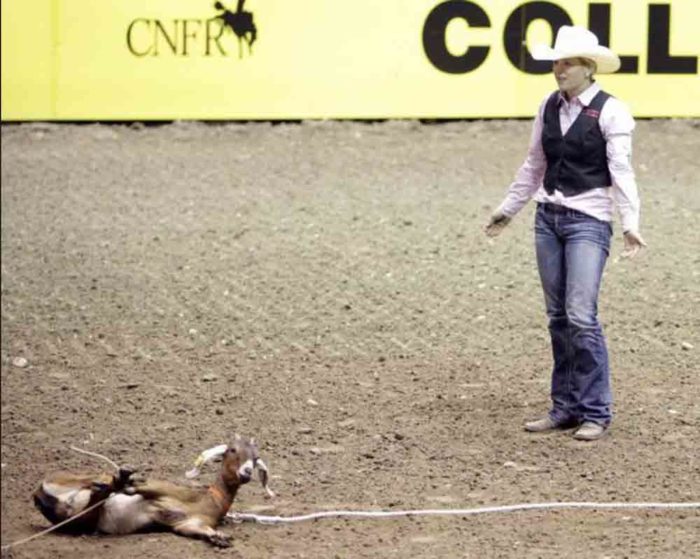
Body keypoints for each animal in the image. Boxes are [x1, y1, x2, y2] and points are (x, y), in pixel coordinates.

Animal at [33, 435, 274, 547]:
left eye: (255, 458)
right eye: (232, 450)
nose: (246, 472)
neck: (209, 499)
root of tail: (39, 494)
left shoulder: (187, 524)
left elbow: (198, 530)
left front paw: (219, 538)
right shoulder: (158, 488)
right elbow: (140, 487)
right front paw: (130, 480)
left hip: (82, 517)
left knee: (93, 500)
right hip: (69, 479)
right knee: (101, 482)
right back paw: (119, 477)